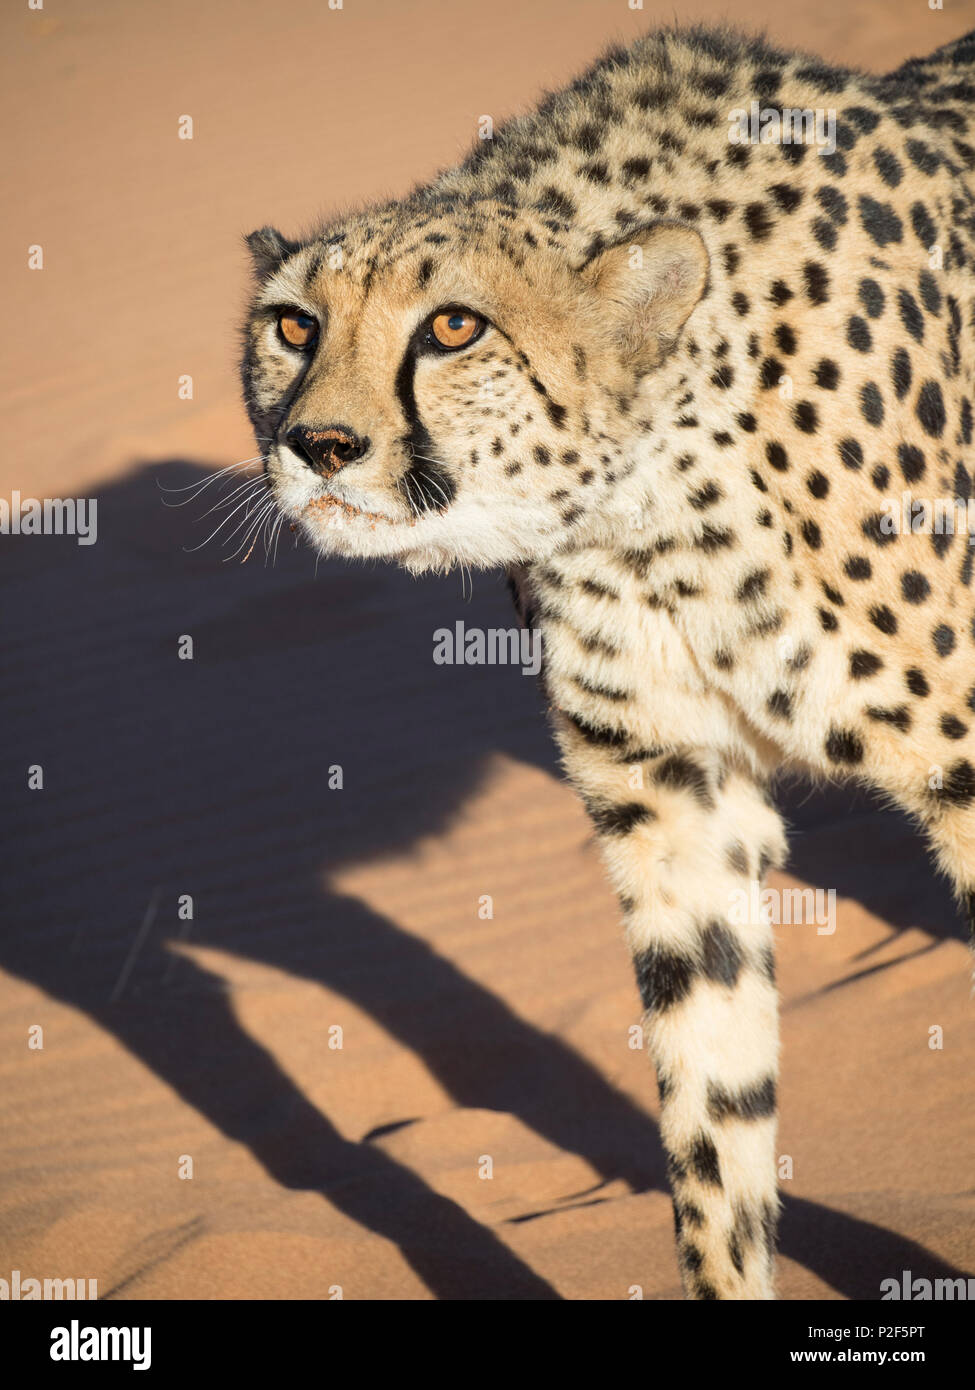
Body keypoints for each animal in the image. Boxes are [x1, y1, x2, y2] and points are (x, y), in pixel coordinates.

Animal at [239, 23, 975, 1299]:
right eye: (293, 326)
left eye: (454, 328)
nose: (318, 444)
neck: (652, 502)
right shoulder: (673, 796)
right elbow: (712, 1116)